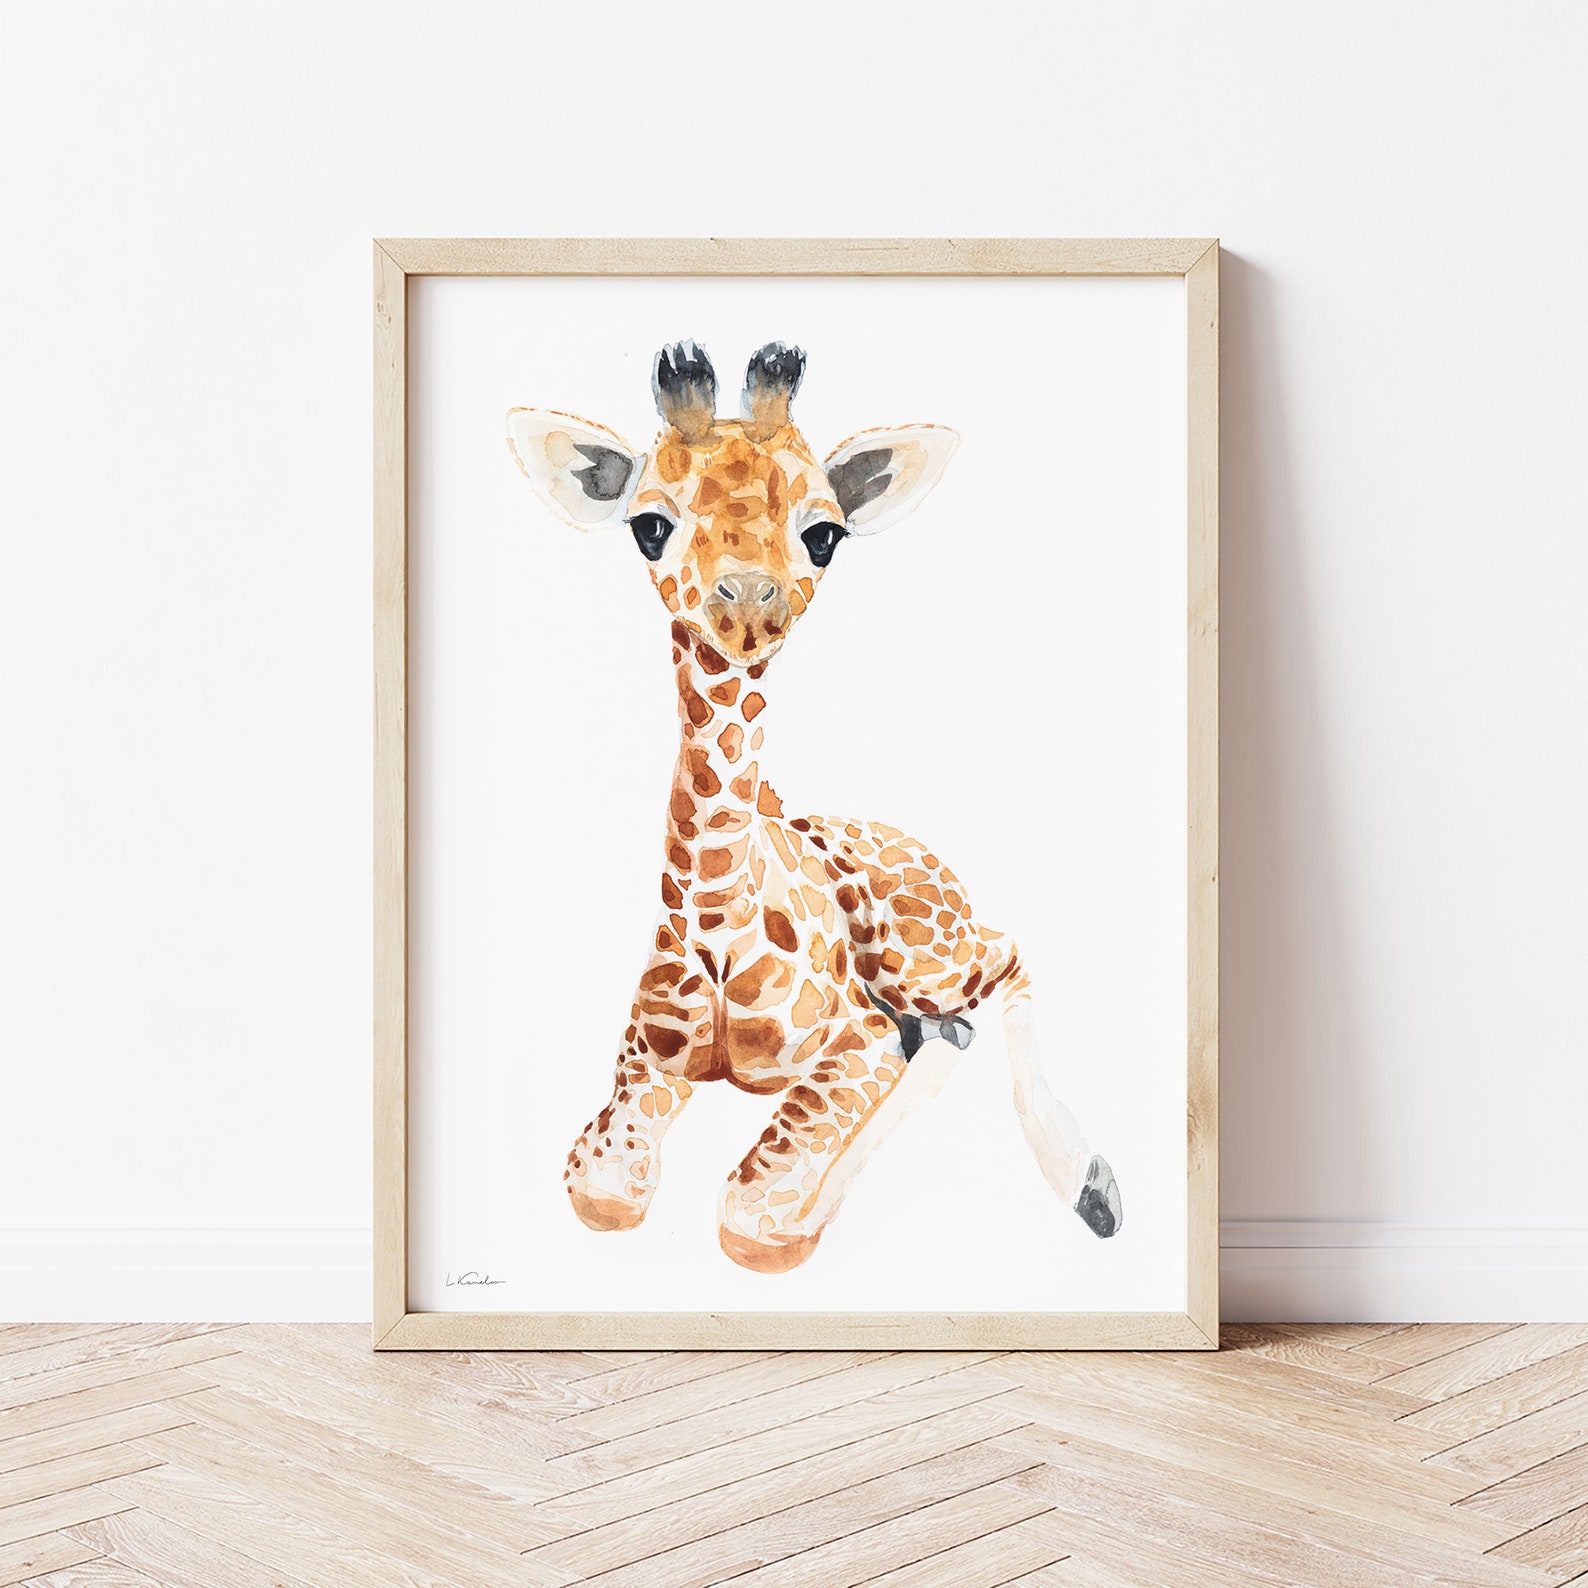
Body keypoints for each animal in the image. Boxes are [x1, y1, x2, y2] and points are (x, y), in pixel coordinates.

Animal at [506, 340, 1123, 1274]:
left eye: (823, 534)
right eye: (650, 526)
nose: (748, 603)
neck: (716, 915)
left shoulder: (850, 1041)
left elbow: (749, 1219)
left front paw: (798, 1218)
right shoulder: (646, 1060)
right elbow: (604, 1190)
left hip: (922, 958)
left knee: (1006, 961)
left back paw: (1088, 1182)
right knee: (957, 1029)